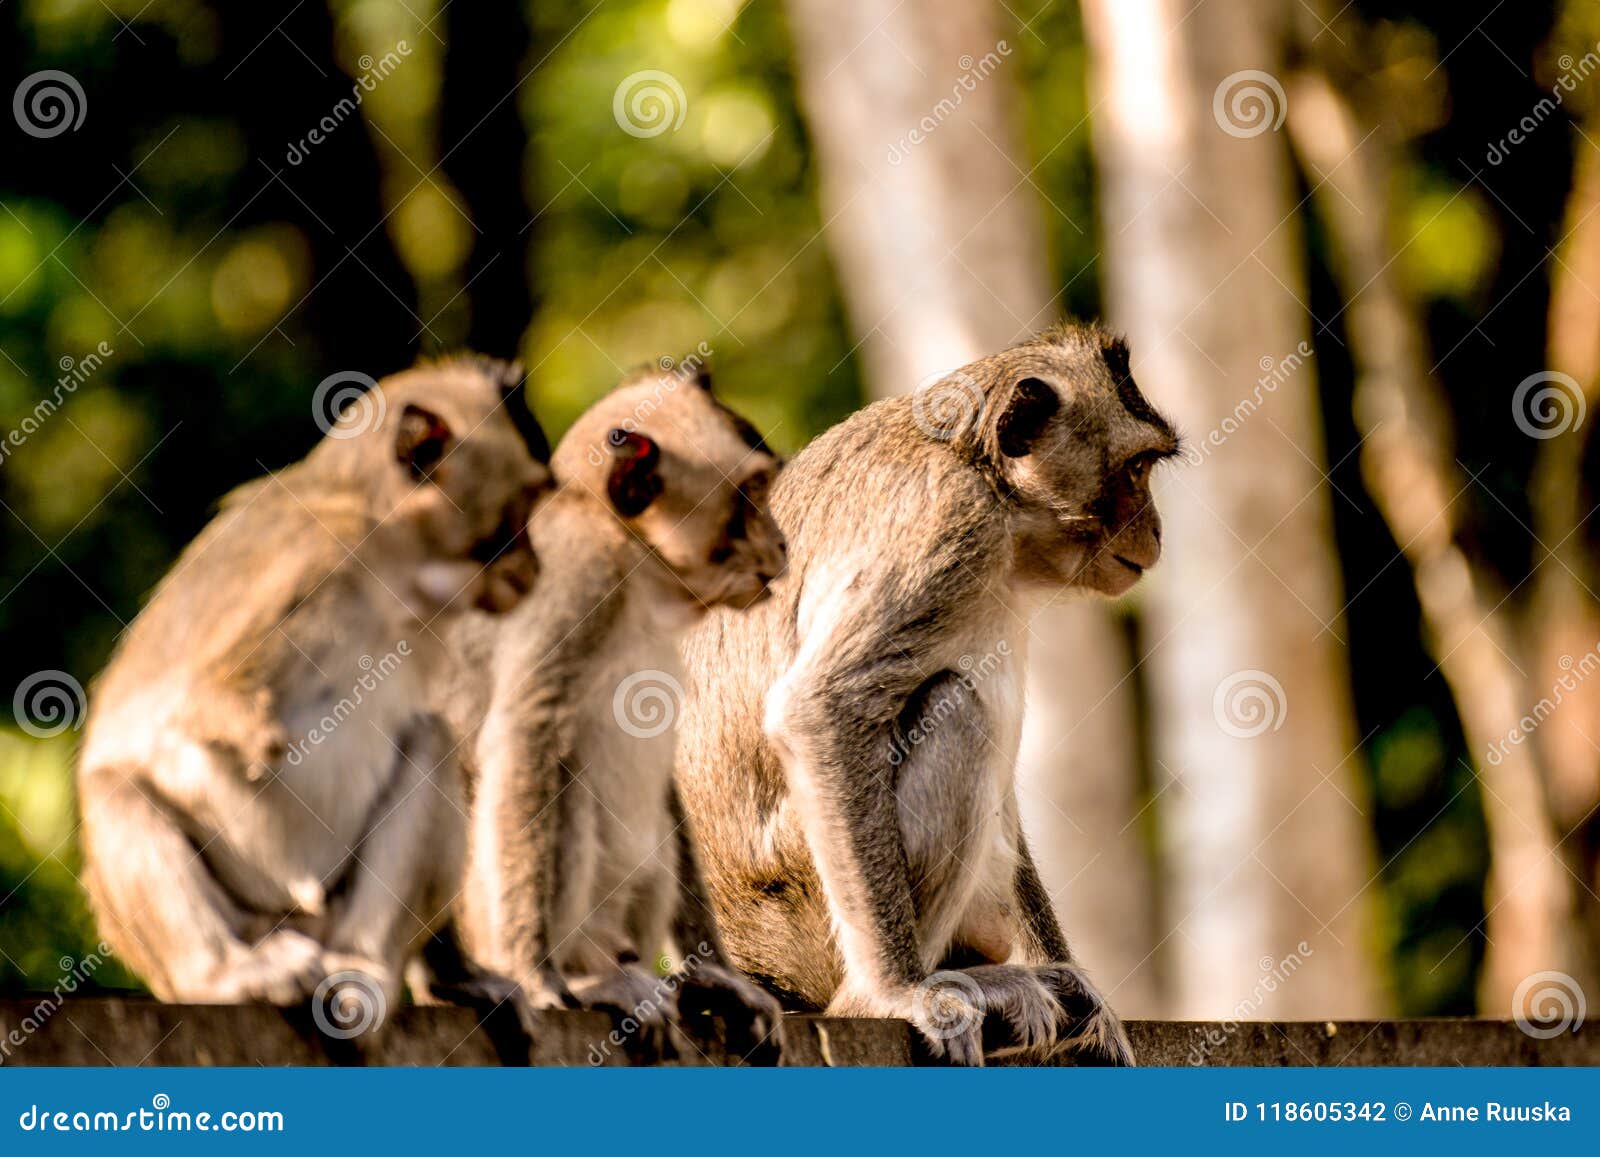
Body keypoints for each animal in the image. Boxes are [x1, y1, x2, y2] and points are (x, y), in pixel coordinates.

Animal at [76, 356, 553, 1028]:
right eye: (527, 504)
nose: (533, 566)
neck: (394, 560)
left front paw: (460, 975)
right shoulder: (311, 558)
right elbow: (193, 711)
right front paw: (255, 739)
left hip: (332, 920)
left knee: (431, 738)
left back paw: (364, 965)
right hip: (242, 926)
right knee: (113, 786)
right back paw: (226, 974)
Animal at [435, 362, 789, 1061]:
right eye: (756, 491)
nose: (783, 544)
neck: (634, 562)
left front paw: (715, 973)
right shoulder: (572, 573)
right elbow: (526, 733)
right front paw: (533, 976)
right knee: (561, 783)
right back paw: (585, 975)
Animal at [673, 322, 1177, 1065]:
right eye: (1138, 468)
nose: (1157, 529)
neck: (984, 477)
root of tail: (751, 963)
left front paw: (1077, 981)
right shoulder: (948, 528)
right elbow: (823, 709)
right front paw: (896, 993)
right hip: (803, 920)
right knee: (958, 710)